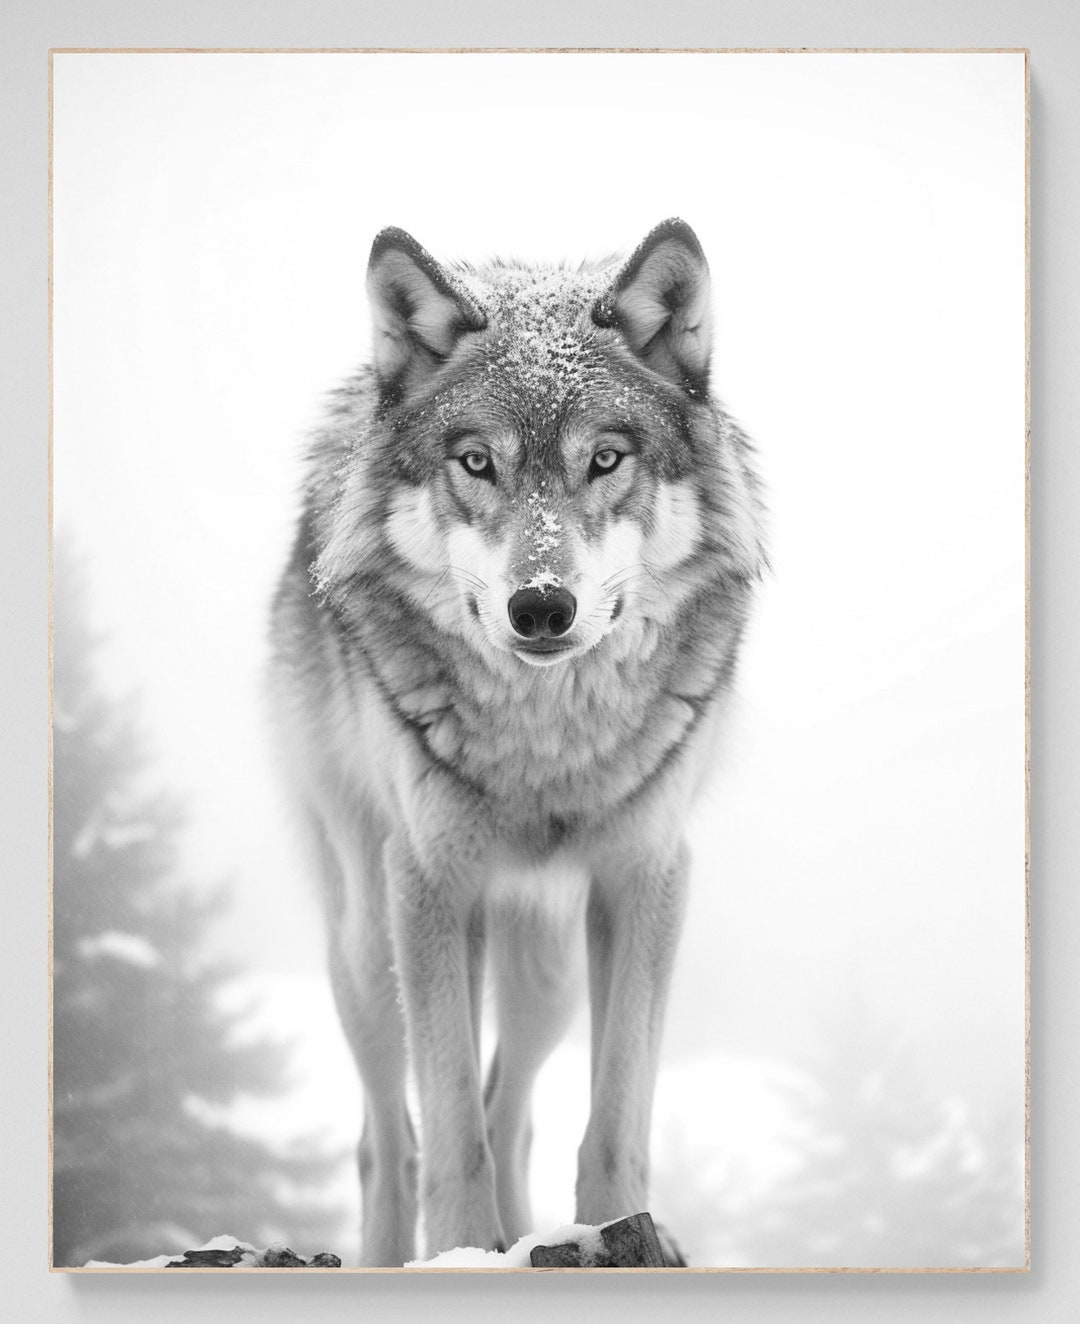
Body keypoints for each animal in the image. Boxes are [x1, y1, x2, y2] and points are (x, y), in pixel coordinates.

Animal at [270, 219, 766, 1267]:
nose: (541, 607)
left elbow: (613, 1118)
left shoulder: (647, 877)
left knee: (512, 1108)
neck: (548, 743)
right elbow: (449, 1127)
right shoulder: (429, 882)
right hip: (366, 942)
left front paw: (616, 1229)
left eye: (606, 460)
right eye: (477, 463)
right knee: (389, 1137)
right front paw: (457, 1250)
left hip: (545, 970)